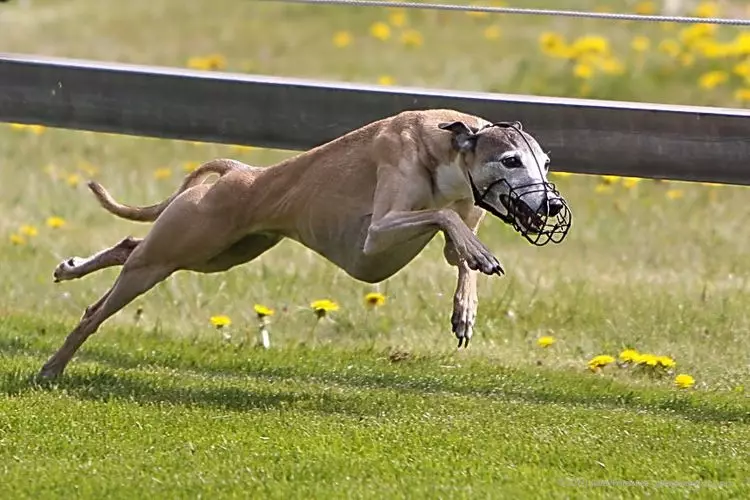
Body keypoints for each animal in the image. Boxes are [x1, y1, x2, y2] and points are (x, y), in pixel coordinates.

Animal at [39, 107, 568, 376]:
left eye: (544, 161)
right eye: (511, 160)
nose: (551, 207)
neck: (448, 146)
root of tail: (240, 171)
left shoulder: (459, 215)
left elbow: (456, 248)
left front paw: (465, 309)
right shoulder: (377, 236)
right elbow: (439, 219)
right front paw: (480, 255)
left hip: (221, 252)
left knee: (131, 243)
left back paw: (70, 268)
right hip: (178, 250)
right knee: (98, 307)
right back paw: (53, 365)